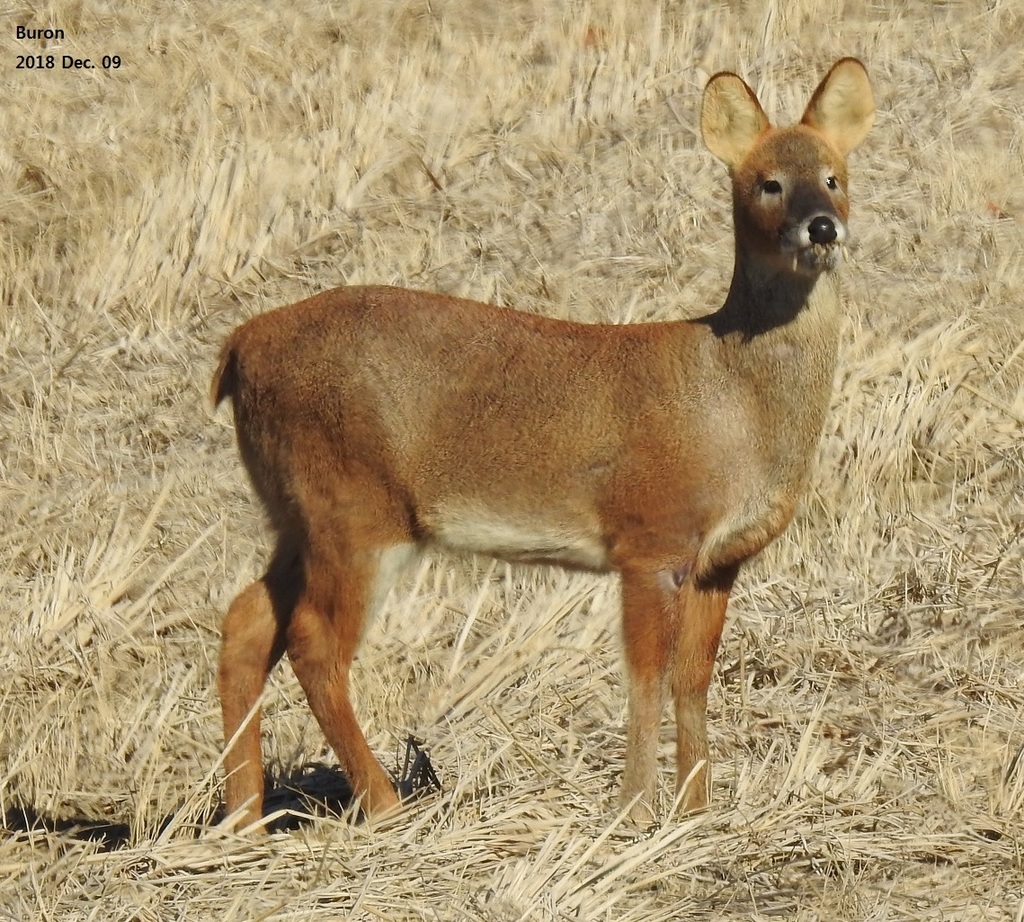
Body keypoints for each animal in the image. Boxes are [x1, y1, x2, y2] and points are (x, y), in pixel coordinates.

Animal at [210, 58, 874, 830]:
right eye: (768, 183)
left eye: (834, 175)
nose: (822, 227)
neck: (731, 397)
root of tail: (237, 349)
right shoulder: (652, 536)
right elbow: (645, 676)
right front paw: (633, 811)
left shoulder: (720, 560)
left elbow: (694, 680)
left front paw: (697, 812)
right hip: (355, 508)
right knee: (313, 641)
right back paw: (384, 806)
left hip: (295, 511)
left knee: (248, 621)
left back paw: (244, 817)